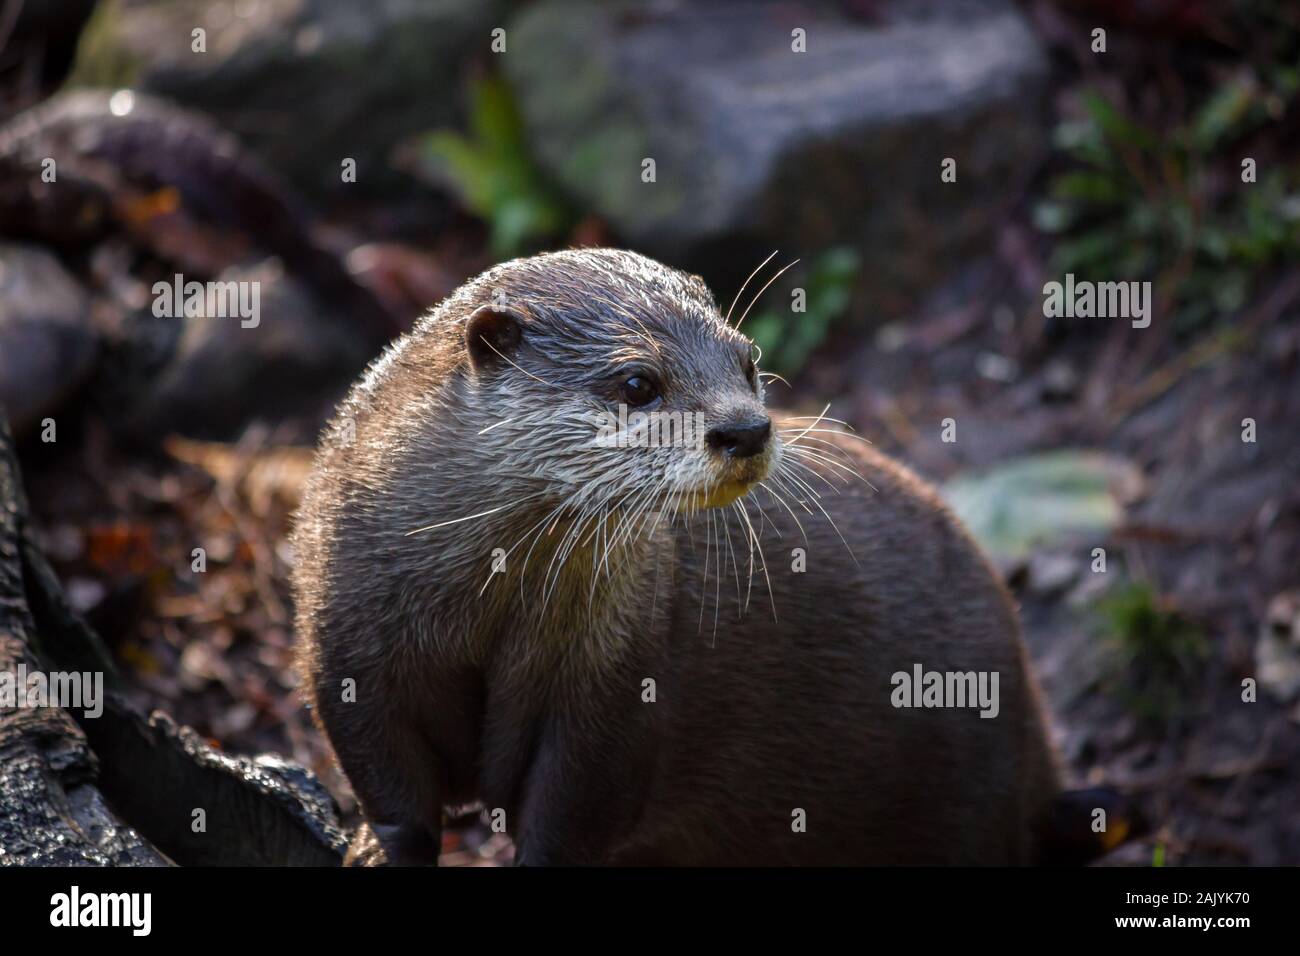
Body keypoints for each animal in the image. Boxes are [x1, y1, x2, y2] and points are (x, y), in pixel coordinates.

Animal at [291, 248, 1065, 865]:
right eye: (638, 384)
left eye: (749, 362)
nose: (746, 429)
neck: (474, 616)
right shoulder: (347, 646)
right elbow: (393, 797)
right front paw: (371, 851)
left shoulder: (619, 687)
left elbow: (569, 817)